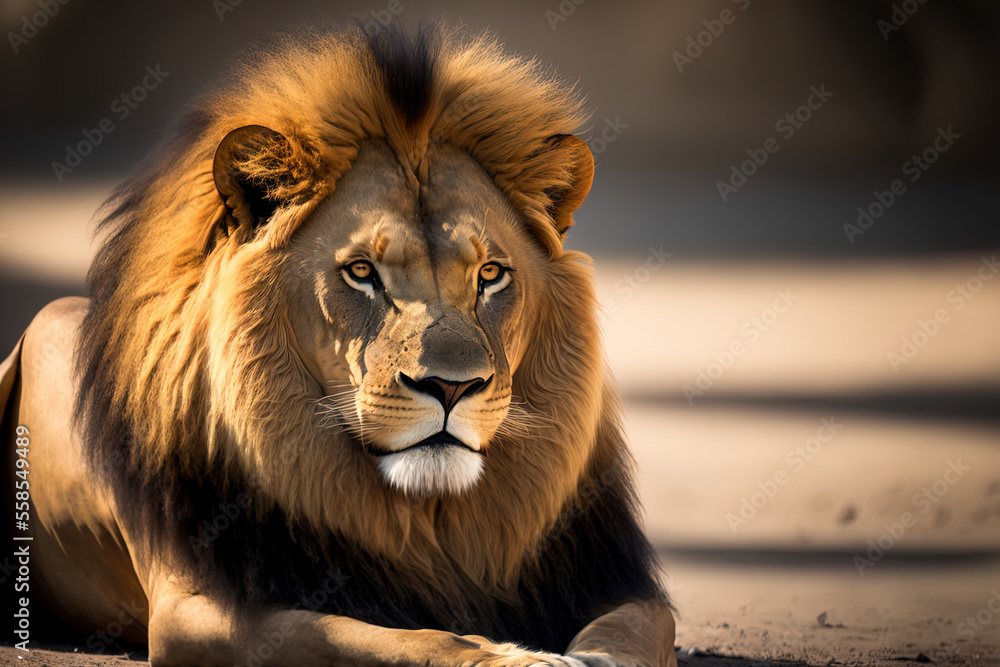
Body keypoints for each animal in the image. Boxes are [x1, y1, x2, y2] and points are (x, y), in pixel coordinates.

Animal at [1, 21, 676, 667]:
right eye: (361, 273)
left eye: (490, 274)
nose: (451, 386)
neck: (429, 521)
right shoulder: (198, 612)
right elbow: (395, 639)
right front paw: (514, 657)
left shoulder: (611, 584)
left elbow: (633, 632)